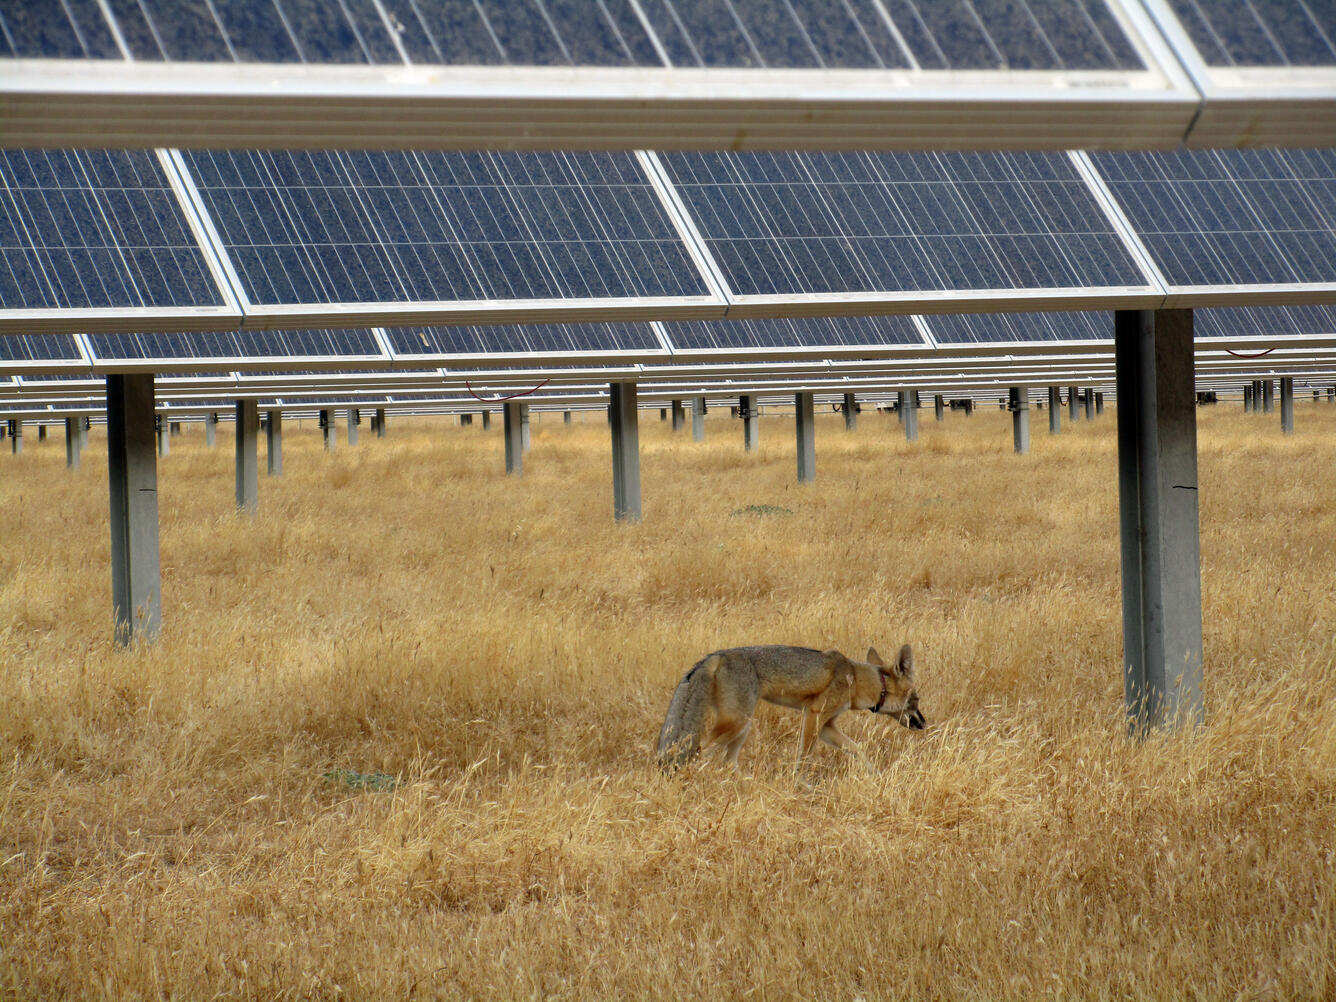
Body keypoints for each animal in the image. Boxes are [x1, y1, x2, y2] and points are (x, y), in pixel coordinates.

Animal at [657, 644, 924, 772]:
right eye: (916, 699)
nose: (924, 723)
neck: (855, 677)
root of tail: (716, 655)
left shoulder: (827, 725)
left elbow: (857, 749)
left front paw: (875, 775)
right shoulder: (814, 716)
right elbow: (803, 757)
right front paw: (800, 783)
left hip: (742, 728)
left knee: (726, 762)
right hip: (737, 723)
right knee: (699, 752)